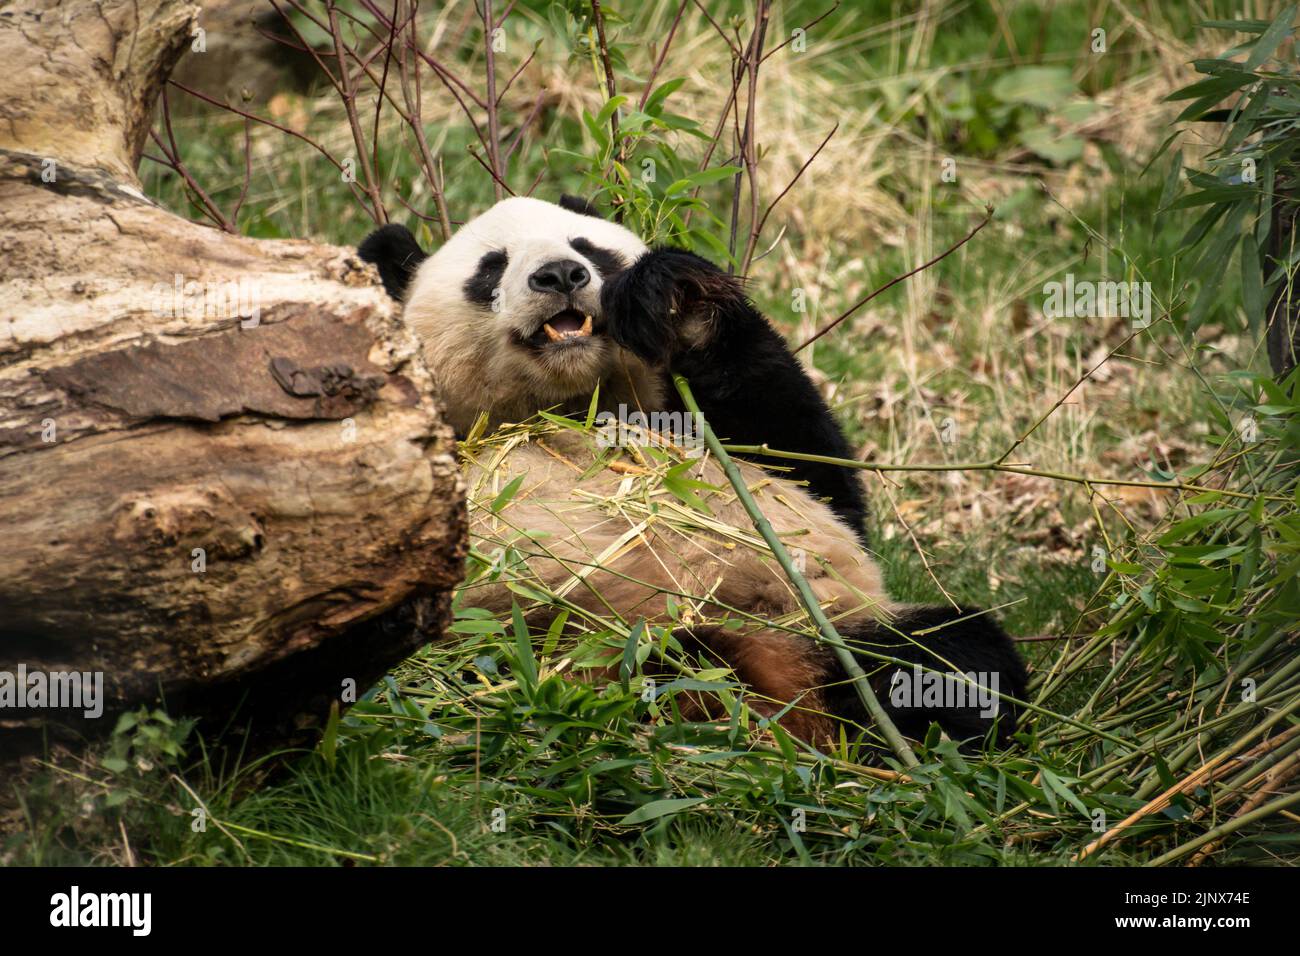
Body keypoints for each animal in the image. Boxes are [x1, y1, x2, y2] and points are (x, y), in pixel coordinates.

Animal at [359, 195, 1028, 750]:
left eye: (587, 247)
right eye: (491, 266)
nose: (561, 275)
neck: (569, 402)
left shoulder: (706, 425)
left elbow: (809, 464)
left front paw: (674, 301)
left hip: (829, 620)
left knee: (948, 660)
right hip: (513, 648)